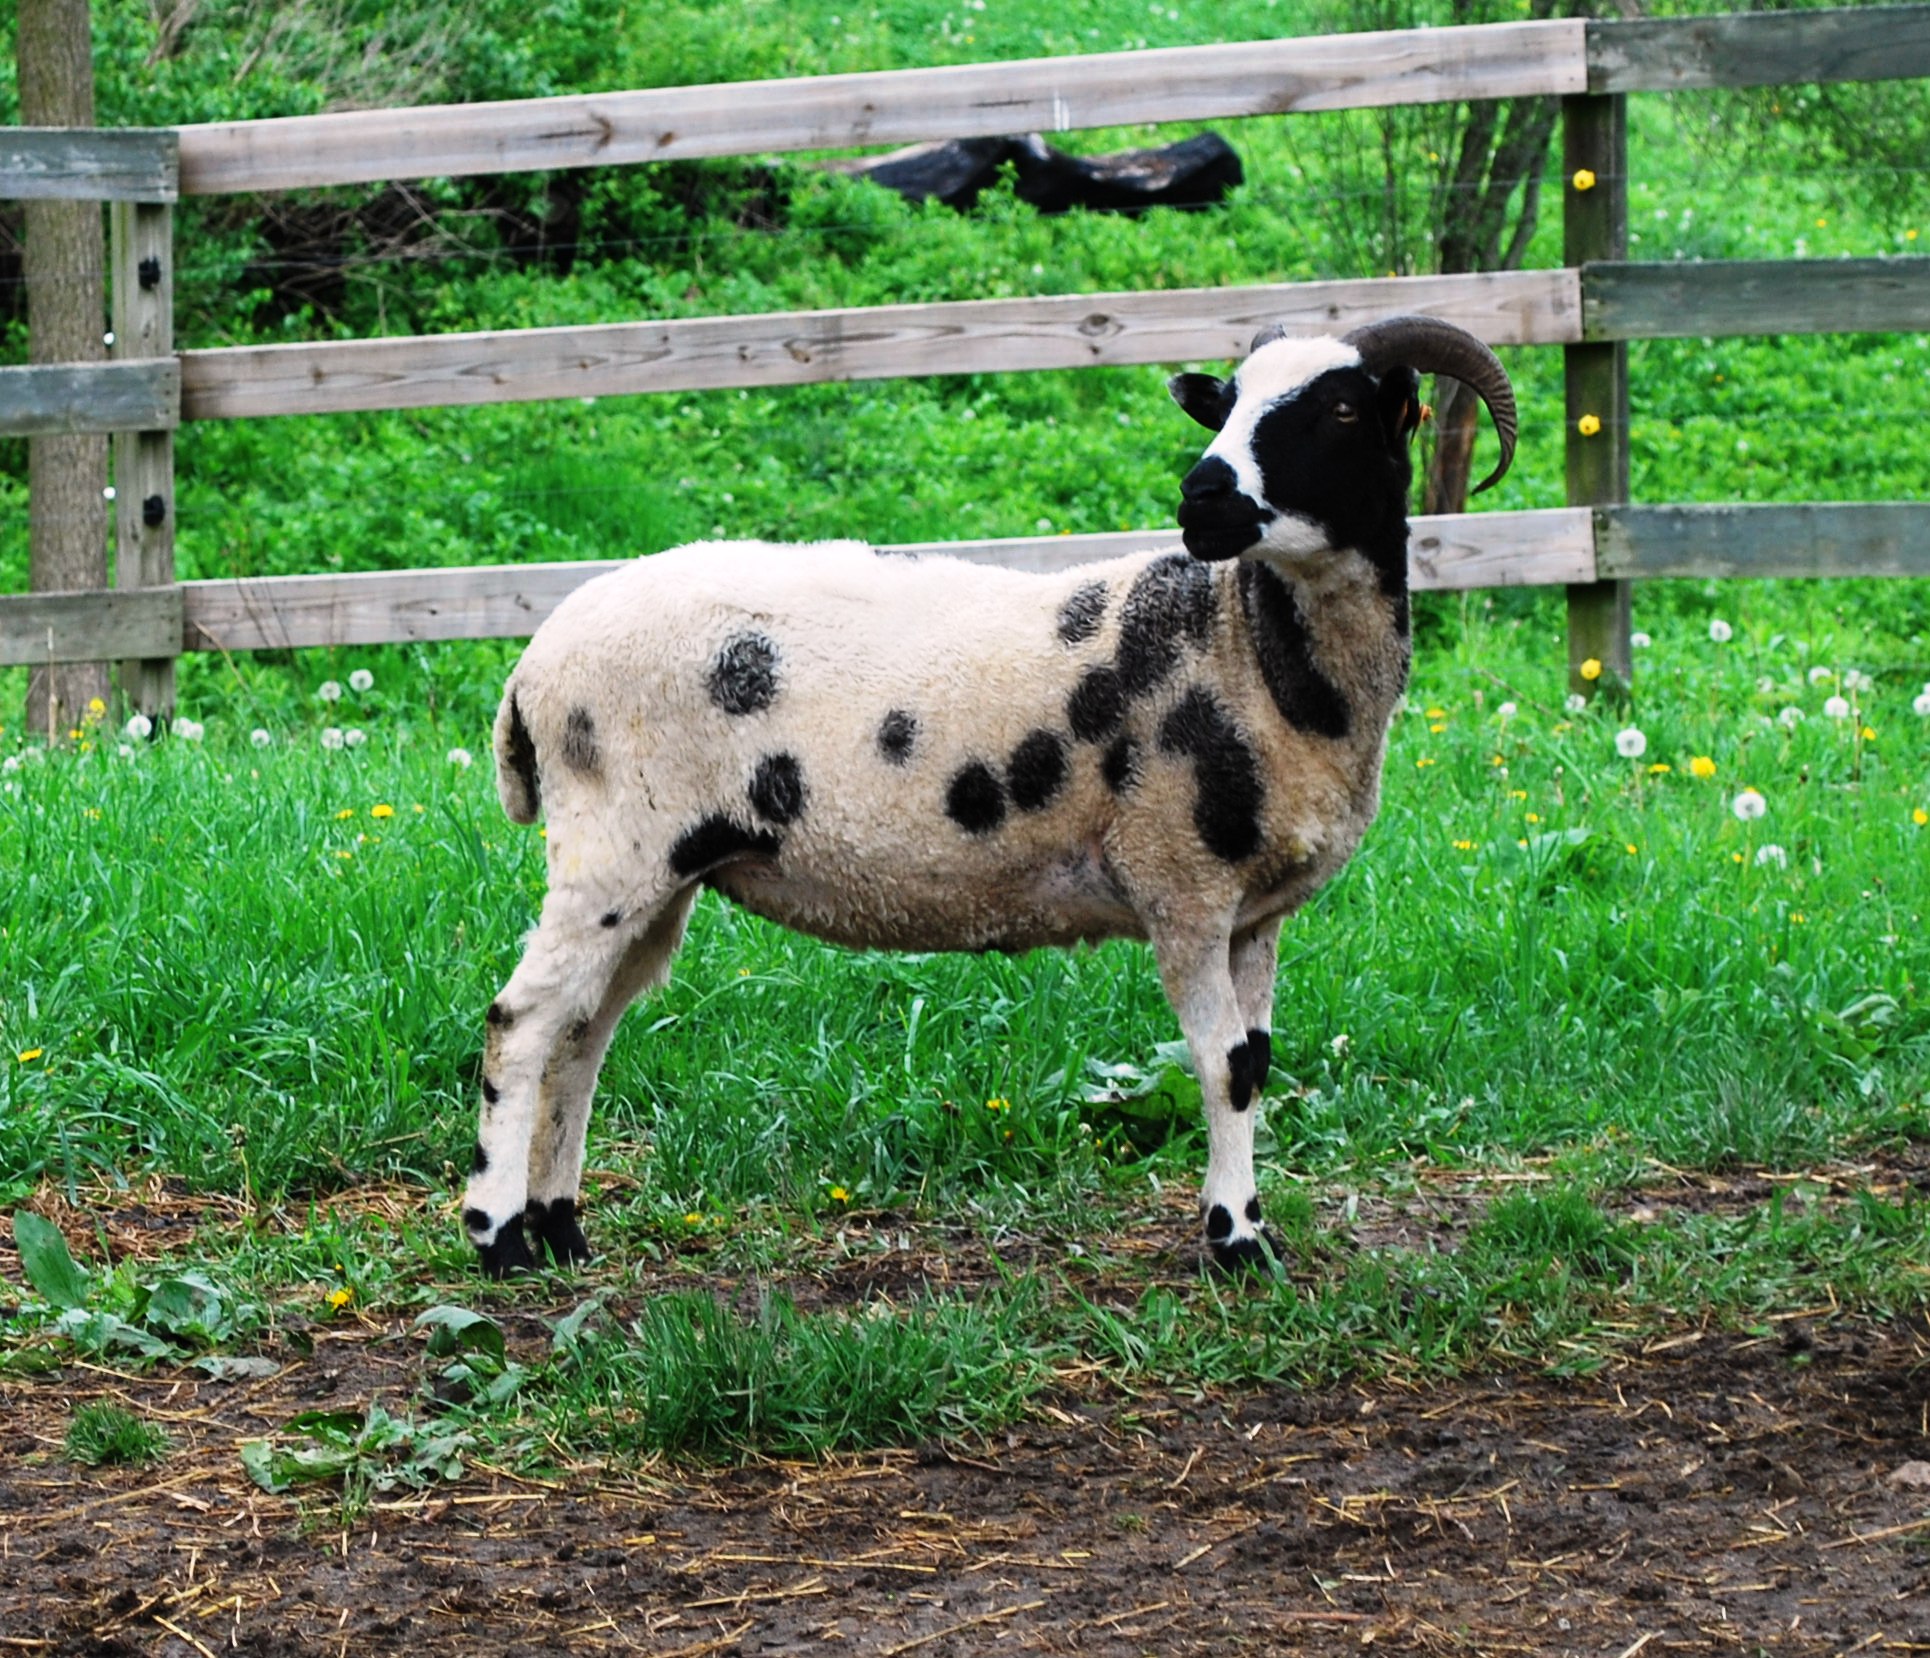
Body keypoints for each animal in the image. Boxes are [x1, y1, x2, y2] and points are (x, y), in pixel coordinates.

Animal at [461, 313, 1517, 1279]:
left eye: (1339, 409)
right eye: (1226, 402)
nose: (1203, 496)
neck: (1249, 653)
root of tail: (532, 668)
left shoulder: (1257, 911)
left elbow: (1254, 1064)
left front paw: (1252, 1229)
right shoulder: (1179, 882)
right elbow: (1222, 1067)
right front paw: (1234, 1241)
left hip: (662, 874)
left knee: (582, 1033)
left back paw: (562, 1232)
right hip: (612, 846)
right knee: (523, 1023)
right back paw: (499, 1237)